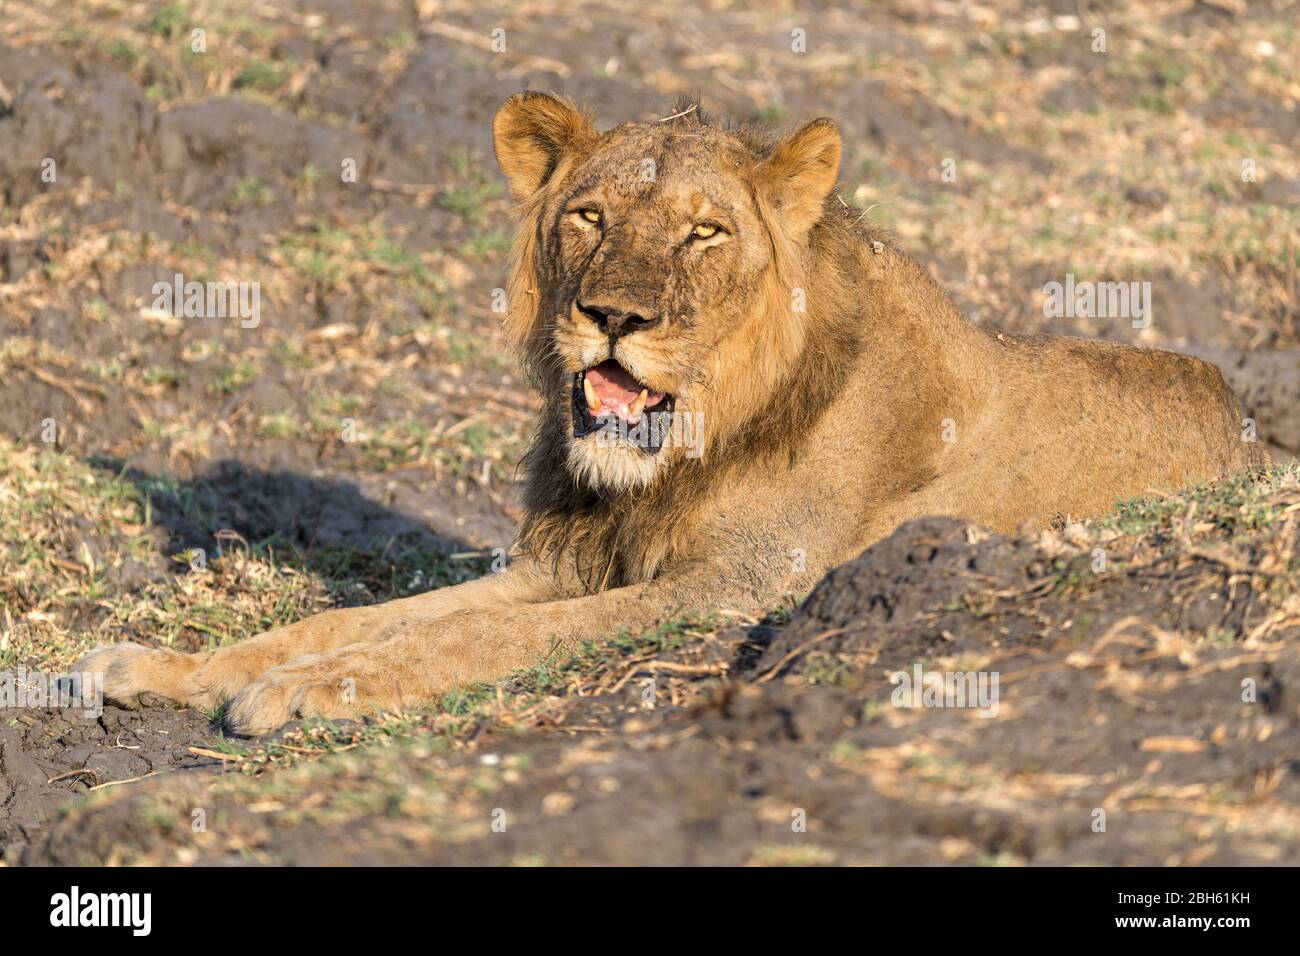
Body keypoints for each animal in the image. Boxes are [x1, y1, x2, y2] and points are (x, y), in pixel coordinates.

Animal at [76, 93, 1269, 734]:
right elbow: (365, 618)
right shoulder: (555, 564)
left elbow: (477, 639)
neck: (676, 457)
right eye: (590, 216)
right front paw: (167, 668)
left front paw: (312, 691)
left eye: (704, 231)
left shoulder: (736, 590)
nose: (613, 316)